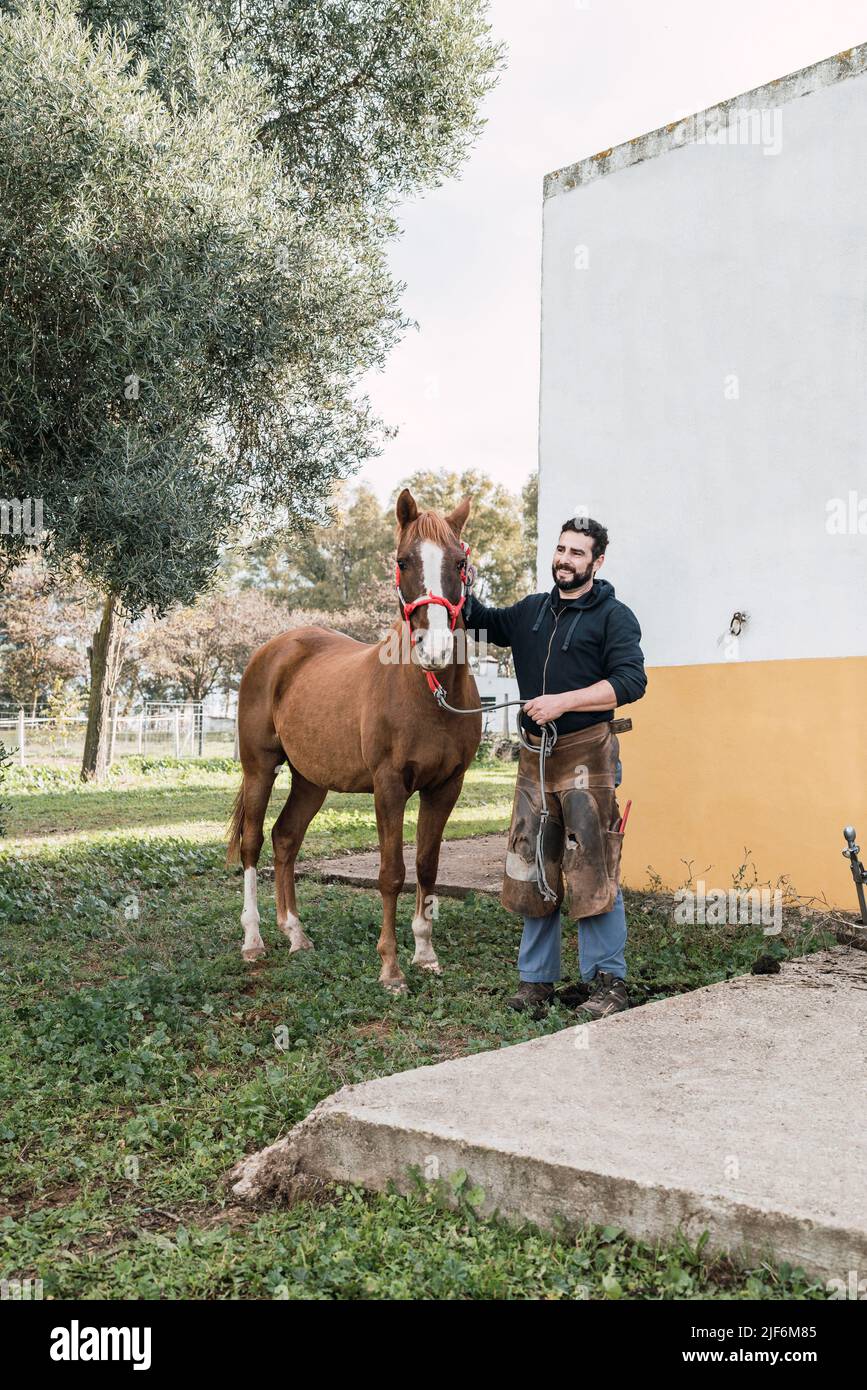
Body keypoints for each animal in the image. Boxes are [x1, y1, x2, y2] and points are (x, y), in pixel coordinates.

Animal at [227, 488, 483, 992]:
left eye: (460, 562)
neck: (427, 692)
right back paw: (253, 940)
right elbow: (392, 873)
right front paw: (391, 968)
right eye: (403, 561)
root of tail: (274, 649)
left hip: (311, 780)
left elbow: (426, 866)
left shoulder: (446, 787)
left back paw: (295, 933)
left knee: (285, 837)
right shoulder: (389, 787)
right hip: (259, 768)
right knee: (252, 844)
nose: (436, 649)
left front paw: (426, 954)